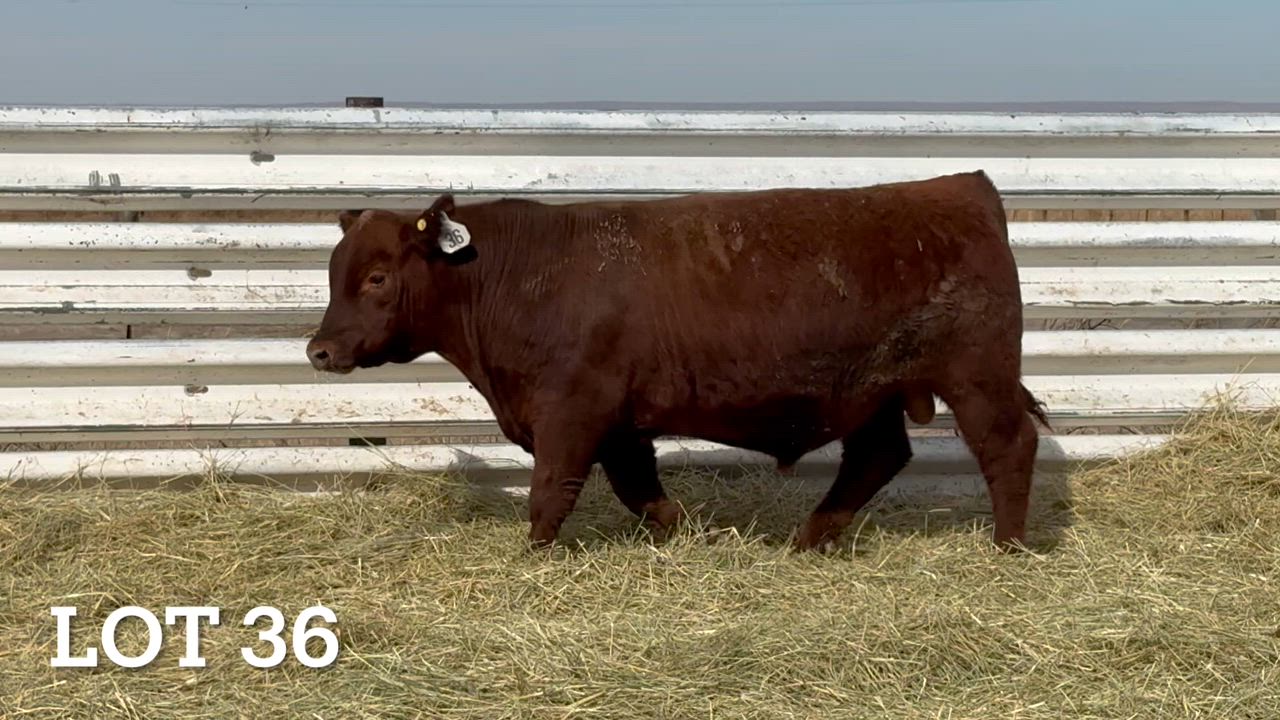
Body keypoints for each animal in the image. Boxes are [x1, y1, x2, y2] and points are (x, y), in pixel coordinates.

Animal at [306, 170, 1049, 552]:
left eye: (376, 277)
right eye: (337, 271)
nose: (320, 349)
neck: (515, 276)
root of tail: (962, 187)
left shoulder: (571, 412)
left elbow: (551, 492)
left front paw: (532, 557)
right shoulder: (620, 425)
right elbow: (641, 491)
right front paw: (693, 535)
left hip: (976, 376)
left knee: (1008, 445)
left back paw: (1009, 546)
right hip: (872, 393)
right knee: (876, 457)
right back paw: (809, 537)